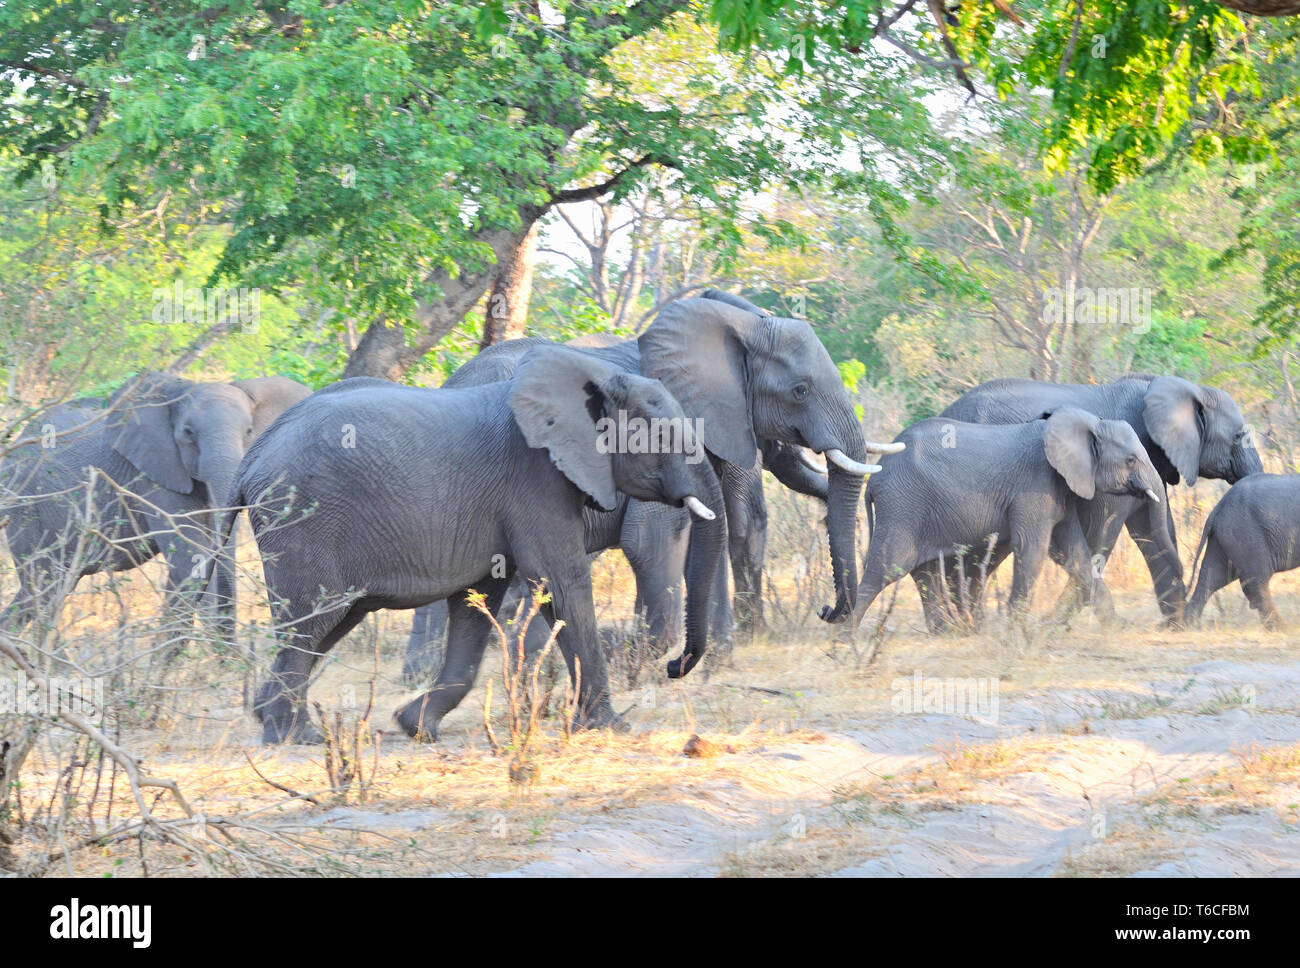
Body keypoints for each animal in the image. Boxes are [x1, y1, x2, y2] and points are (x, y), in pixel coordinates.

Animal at [1, 372, 311, 642]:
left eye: (249, 432)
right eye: (188, 433)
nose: (227, 659)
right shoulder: (154, 474)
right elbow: (191, 560)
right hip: (24, 504)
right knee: (41, 584)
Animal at [229, 346, 728, 744]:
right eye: (660, 435)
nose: (674, 667)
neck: (593, 377)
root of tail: (251, 459)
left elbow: (477, 603)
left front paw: (415, 727)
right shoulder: (536, 479)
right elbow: (560, 581)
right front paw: (614, 728)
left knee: (328, 623)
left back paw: (268, 718)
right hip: (300, 521)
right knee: (309, 622)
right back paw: (295, 737)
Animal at [846, 409, 1167, 628]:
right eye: (1130, 460)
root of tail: (875, 477)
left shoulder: (1060, 490)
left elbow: (1077, 553)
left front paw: (1114, 628)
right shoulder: (1033, 486)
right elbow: (1032, 549)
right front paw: (1016, 631)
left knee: (924, 571)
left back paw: (949, 632)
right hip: (903, 504)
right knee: (888, 566)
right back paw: (844, 638)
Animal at [928, 375, 1263, 627]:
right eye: (1238, 437)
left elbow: (1152, 530)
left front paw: (1174, 624)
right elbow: (1102, 535)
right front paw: (1062, 624)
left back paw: (965, 622)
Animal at [1185, 474, 1299, 628]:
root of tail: (1218, 507)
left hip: (1225, 537)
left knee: (1212, 577)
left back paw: (1186, 623)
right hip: (1246, 534)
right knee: (1258, 580)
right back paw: (1280, 627)